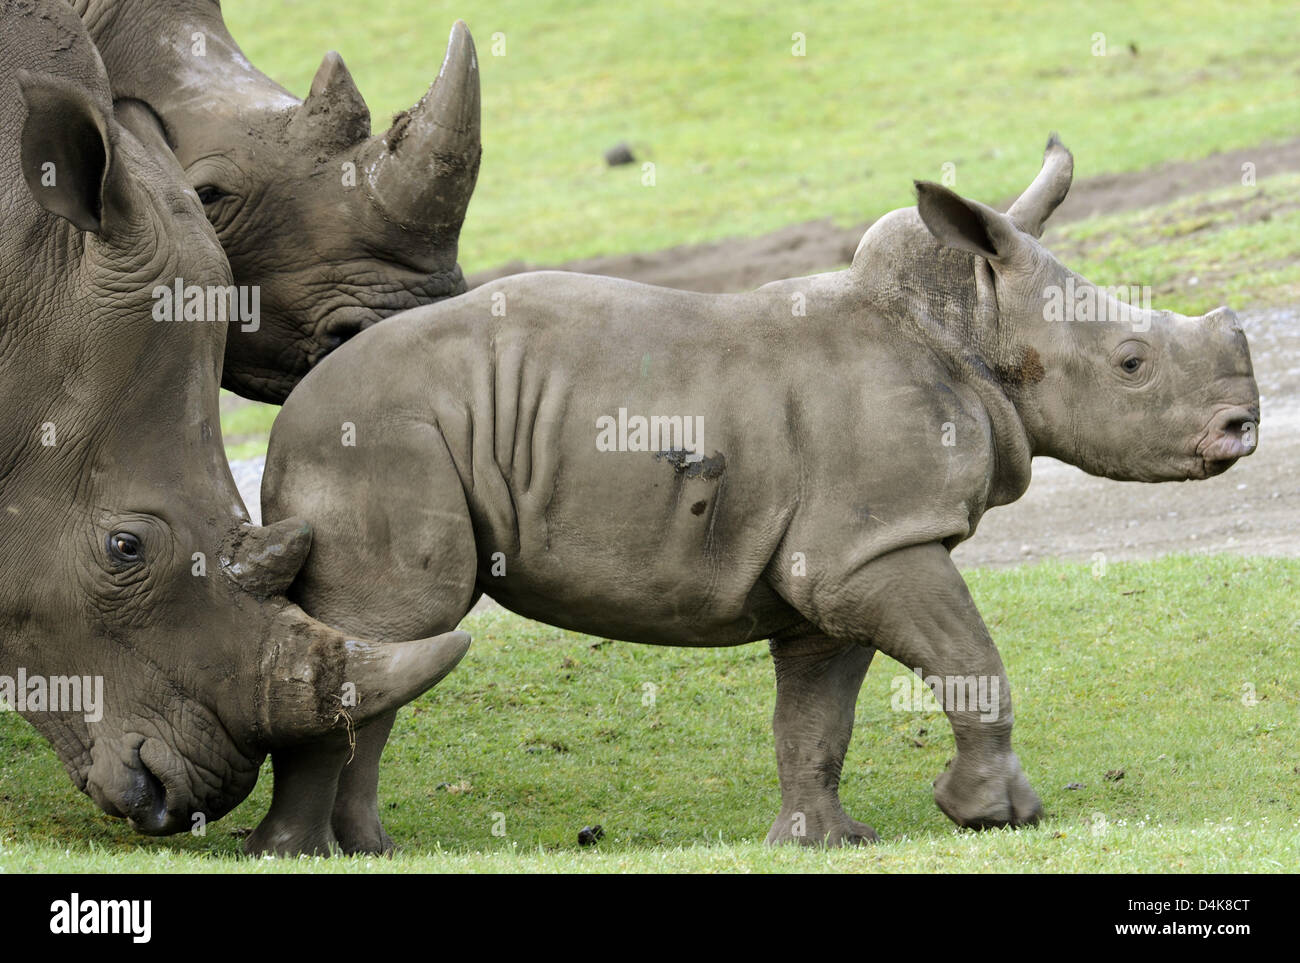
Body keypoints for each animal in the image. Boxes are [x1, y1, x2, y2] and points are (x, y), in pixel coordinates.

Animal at [257, 135, 1259, 854]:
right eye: (1132, 364)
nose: (1243, 428)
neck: (970, 328)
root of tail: (283, 418)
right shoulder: (877, 543)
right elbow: (972, 657)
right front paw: (995, 816)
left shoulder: (844, 559)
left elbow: (816, 714)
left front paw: (824, 841)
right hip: (382, 438)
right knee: (390, 627)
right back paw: (305, 854)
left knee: (388, 643)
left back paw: (363, 850)